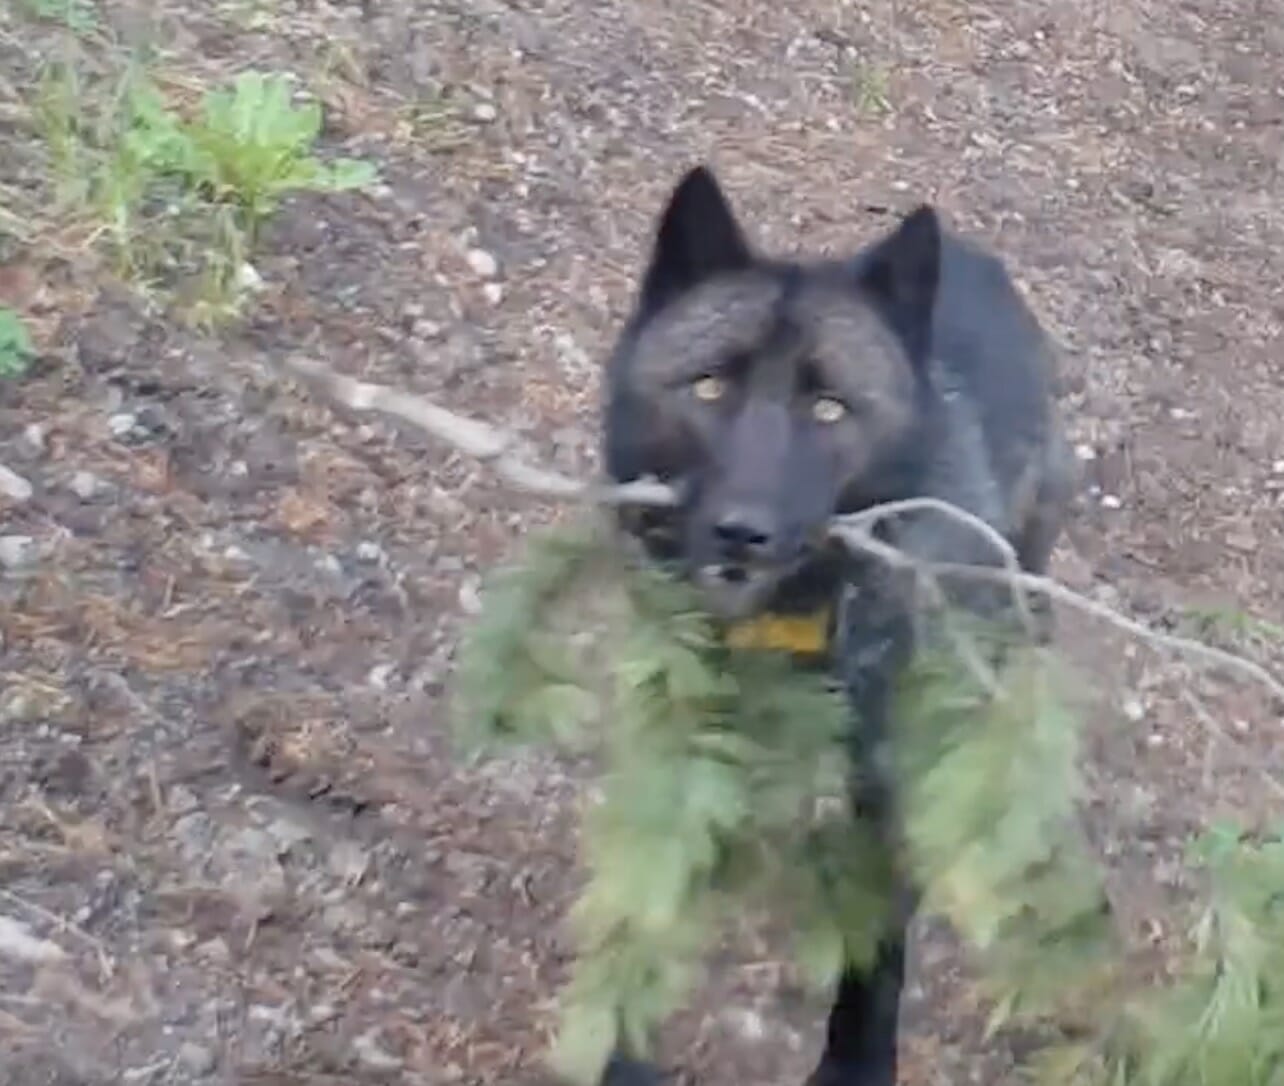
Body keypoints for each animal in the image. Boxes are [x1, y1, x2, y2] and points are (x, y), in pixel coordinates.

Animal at [598, 166, 1077, 1086]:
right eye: (710, 387)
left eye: (827, 408)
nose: (741, 531)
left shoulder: (888, 803)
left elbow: (877, 951)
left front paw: (856, 1063)